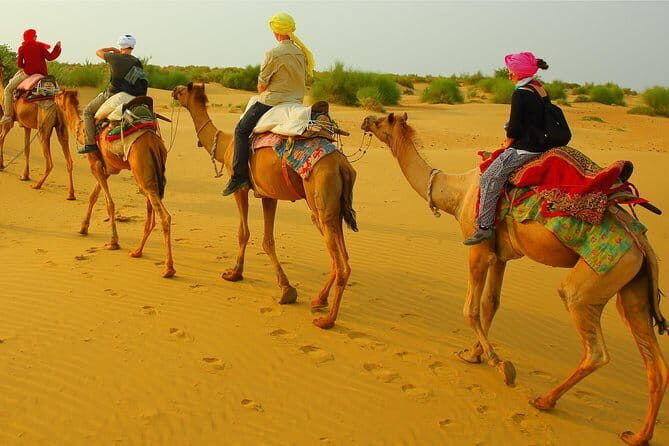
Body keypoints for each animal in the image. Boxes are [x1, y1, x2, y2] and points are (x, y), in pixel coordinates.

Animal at [0, 65, 75, 199]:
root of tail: (55, 105)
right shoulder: (26, 126)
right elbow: (27, 150)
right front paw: (25, 175)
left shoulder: (8, 121)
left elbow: (1, 138)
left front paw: (1, 165)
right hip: (62, 128)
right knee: (69, 160)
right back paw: (71, 194)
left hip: (42, 130)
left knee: (49, 162)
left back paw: (37, 185)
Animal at [56, 89, 175, 278]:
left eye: (60, 94)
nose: (53, 96)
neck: (82, 131)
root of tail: (153, 142)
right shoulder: (107, 169)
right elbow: (93, 196)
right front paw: (83, 228)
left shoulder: (95, 164)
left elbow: (109, 203)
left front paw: (113, 242)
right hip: (150, 175)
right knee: (152, 213)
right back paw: (137, 251)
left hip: (142, 173)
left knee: (165, 216)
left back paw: (168, 268)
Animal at [172, 83, 357, 329]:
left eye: (183, 89)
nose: (173, 91)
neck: (225, 145)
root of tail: (342, 165)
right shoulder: (269, 195)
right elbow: (268, 240)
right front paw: (286, 289)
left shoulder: (240, 187)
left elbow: (243, 233)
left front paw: (234, 273)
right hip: (331, 210)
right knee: (341, 257)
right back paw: (319, 300)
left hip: (321, 201)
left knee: (341, 262)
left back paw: (326, 320)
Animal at [362, 112, 667, 446]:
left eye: (383, 120)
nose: (364, 120)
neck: (456, 193)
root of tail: (642, 243)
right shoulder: (501, 256)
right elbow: (491, 305)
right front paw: (474, 354)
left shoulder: (478, 248)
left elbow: (470, 309)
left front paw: (501, 365)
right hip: (633, 287)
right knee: (656, 363)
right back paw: (637, 435)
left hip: (595, 281)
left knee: (593, 344)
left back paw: (545, 400)